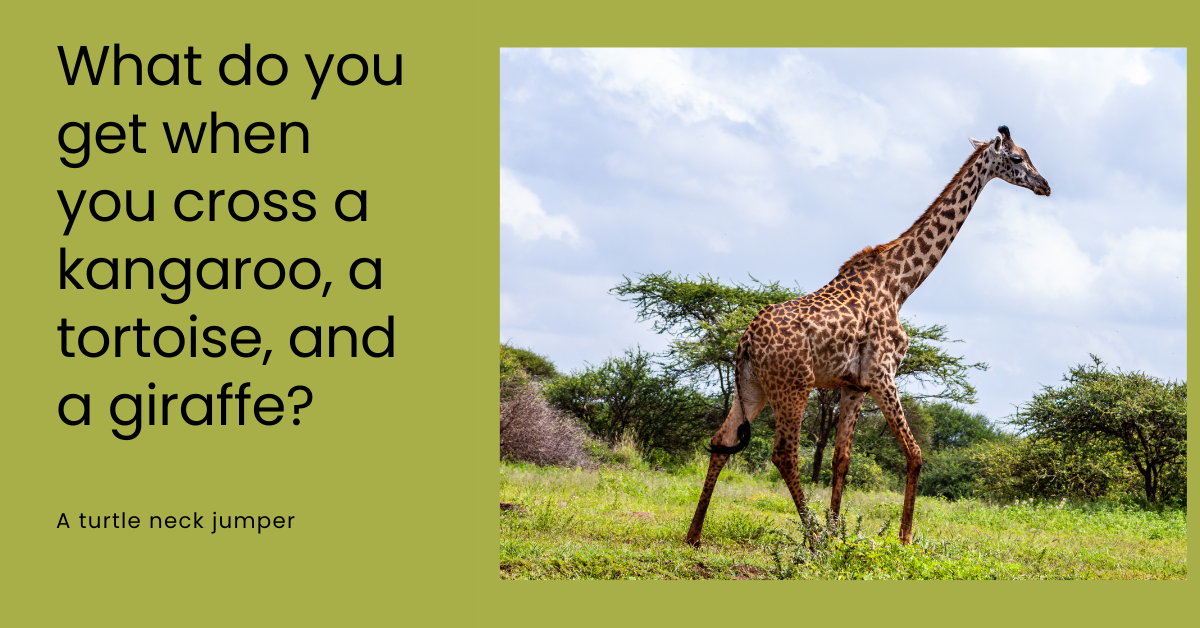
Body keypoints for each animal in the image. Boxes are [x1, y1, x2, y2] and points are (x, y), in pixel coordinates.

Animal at [686, 126, 1050, 546]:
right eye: (1018, 158)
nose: (1045, 186)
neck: (900, 284)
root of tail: (745, 341)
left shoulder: (853, 385)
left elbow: (841, 458)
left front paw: (837, 532)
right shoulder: (882, 374)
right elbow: (915, 454)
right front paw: (903, 538)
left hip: (753, 386)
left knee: (722, 440)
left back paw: (695, 534)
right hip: (793, 386)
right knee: (783, 454)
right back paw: (811, 538)